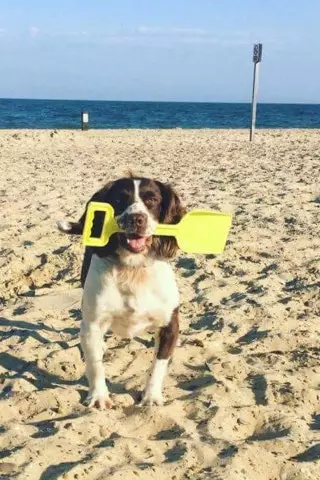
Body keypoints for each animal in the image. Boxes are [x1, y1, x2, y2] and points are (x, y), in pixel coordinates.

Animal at [56, 176, 184, 408]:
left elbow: (158, 365)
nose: (137, 219)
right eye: (119, 199)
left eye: (152, 200)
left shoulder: (170, 325)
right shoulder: (92, 324)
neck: (133, 269)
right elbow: (95, 365)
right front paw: (99, 396)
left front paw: (151, 397)